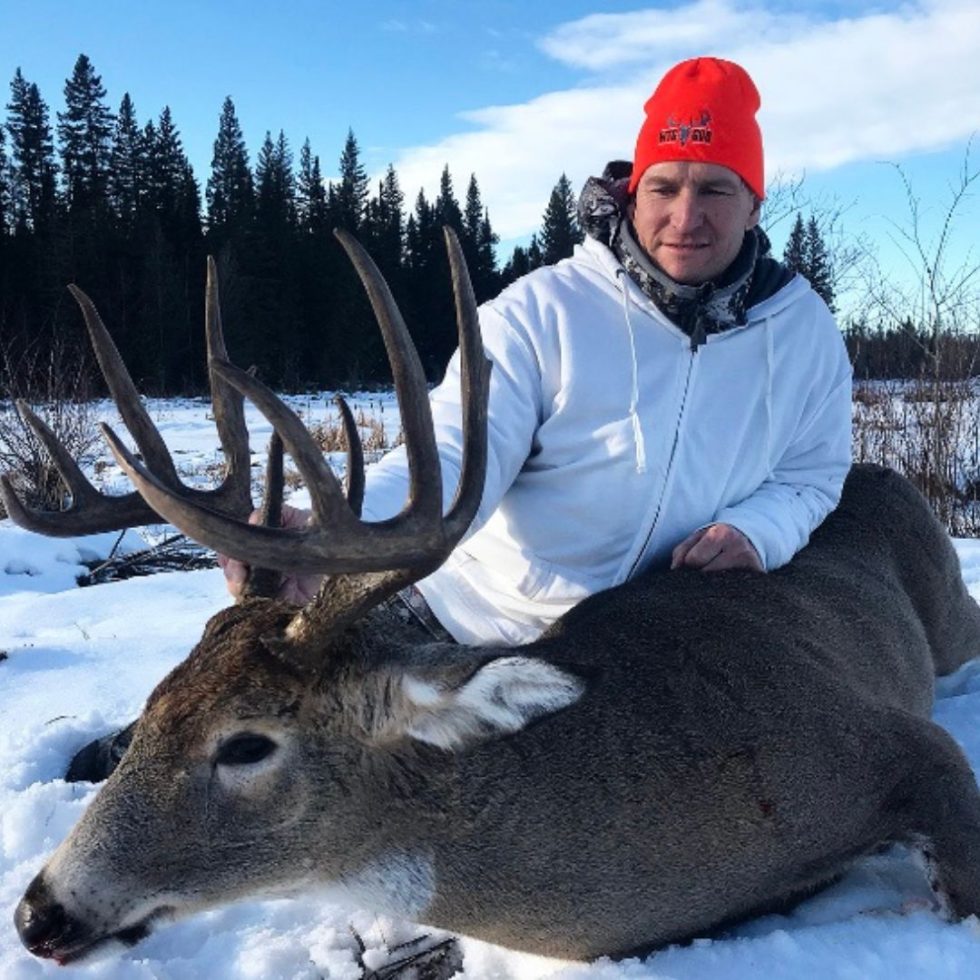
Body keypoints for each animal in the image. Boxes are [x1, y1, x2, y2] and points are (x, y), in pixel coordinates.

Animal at [7, 228, 980, 967]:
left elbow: (954, 890)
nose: (38, 912)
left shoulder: (898, 742)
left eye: (247, 744)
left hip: (951, 618)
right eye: (152, 707)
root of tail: (878, 471)